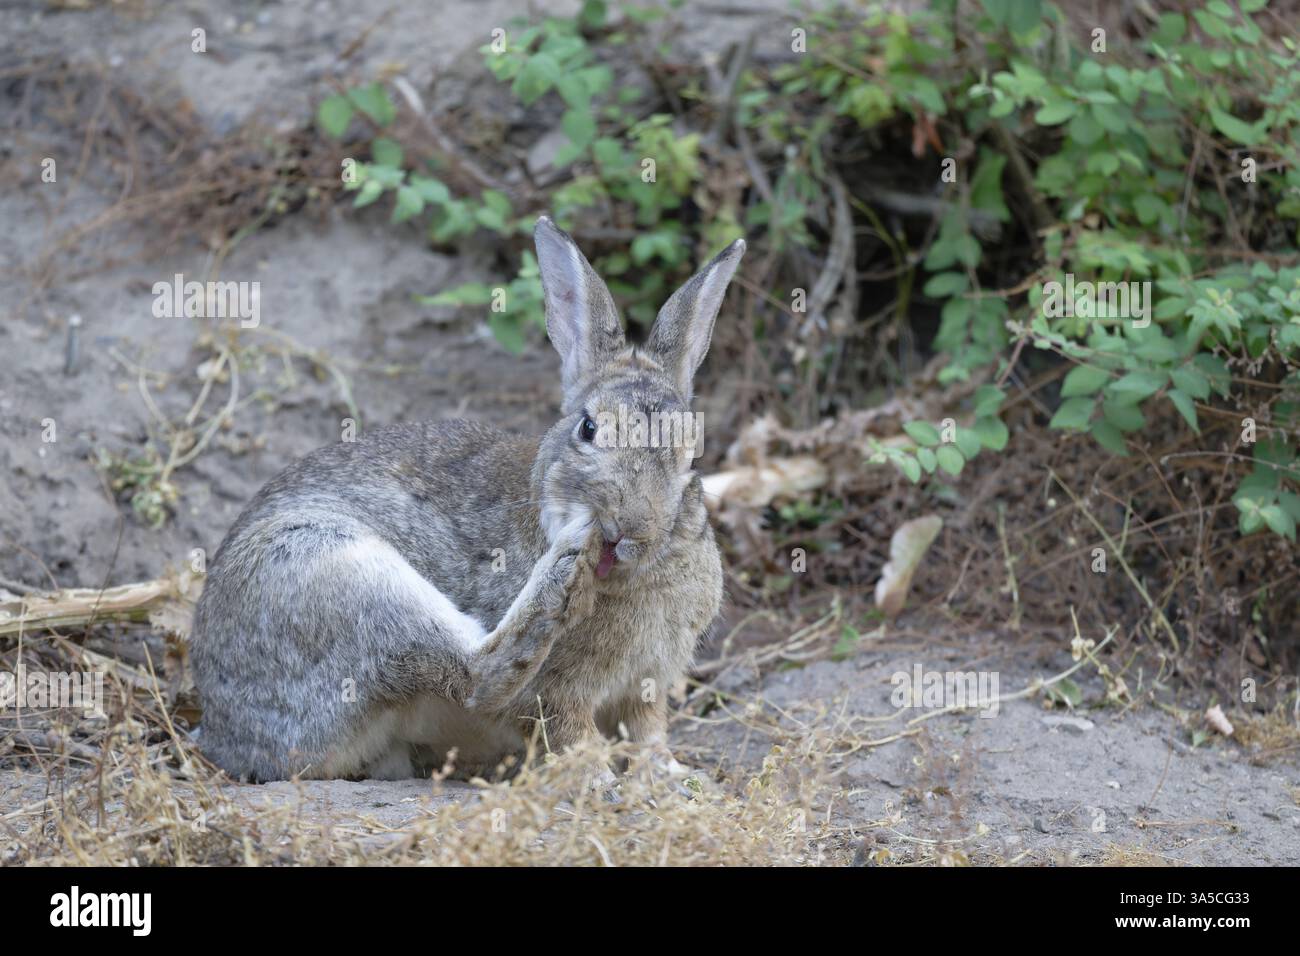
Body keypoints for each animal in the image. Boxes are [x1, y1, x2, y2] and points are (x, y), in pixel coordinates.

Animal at [190, 216, 745, 783]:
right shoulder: (555, 697)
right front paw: (603, 783)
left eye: (691, 452)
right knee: (475, 675)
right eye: (588, 429)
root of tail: (227, 737)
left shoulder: (647, 685)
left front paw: (675, 778)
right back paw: (562, 572)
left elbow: (649, 731)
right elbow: (567, 730)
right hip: (332, 566)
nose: (627, 529)